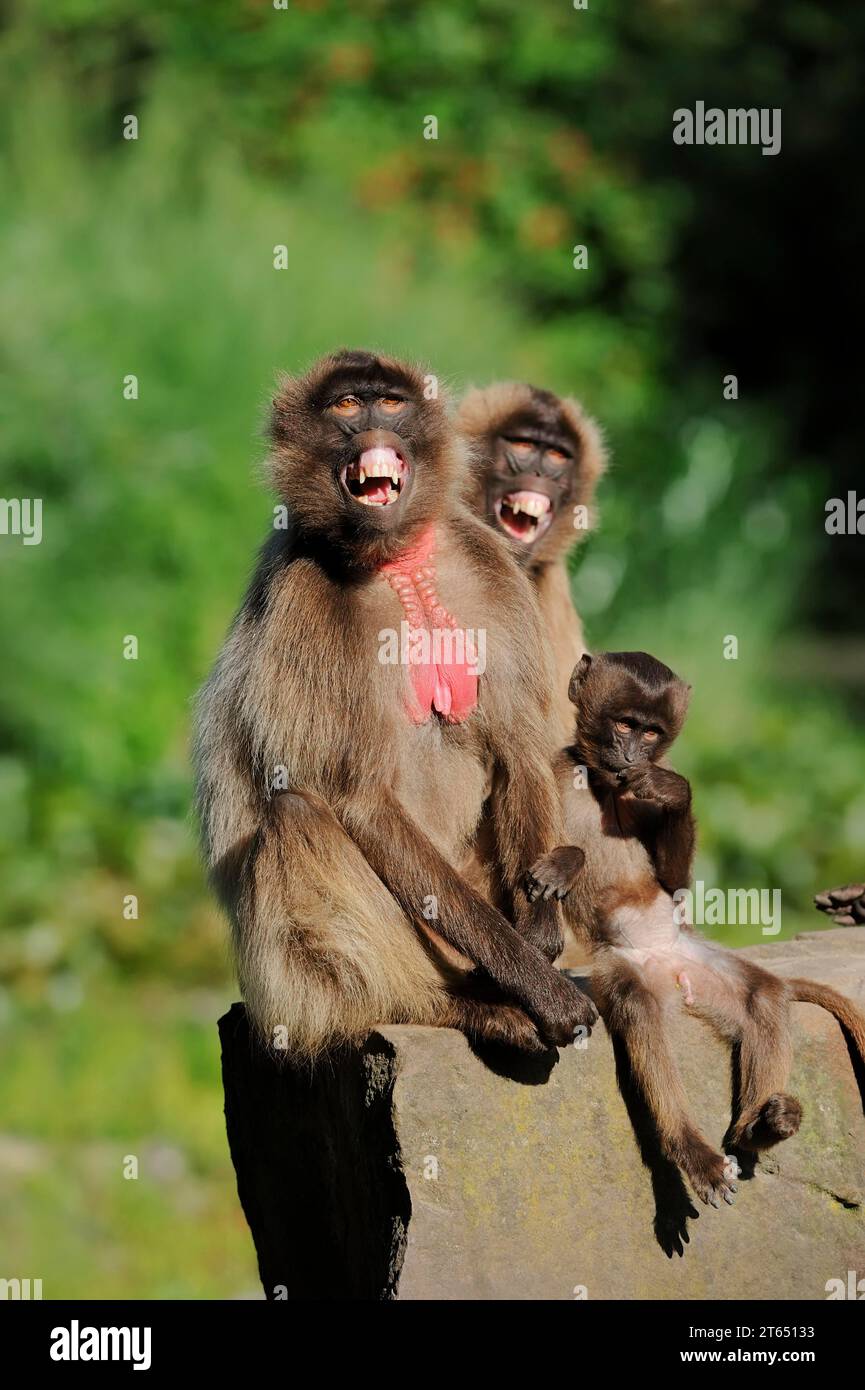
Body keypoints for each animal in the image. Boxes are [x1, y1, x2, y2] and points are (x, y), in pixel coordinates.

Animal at [528, 651, 865, 1206]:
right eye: (625, 724)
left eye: (651, 733)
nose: (628, 754)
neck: (604, 786)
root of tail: (669, 968)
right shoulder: (552, 771)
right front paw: (566, 863)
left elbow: (675, 880)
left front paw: (674, 793)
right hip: (624, 968)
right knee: (641, 1013)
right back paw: (692, 1148)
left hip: (698, 963)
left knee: (763, 995)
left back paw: (760, 1127)